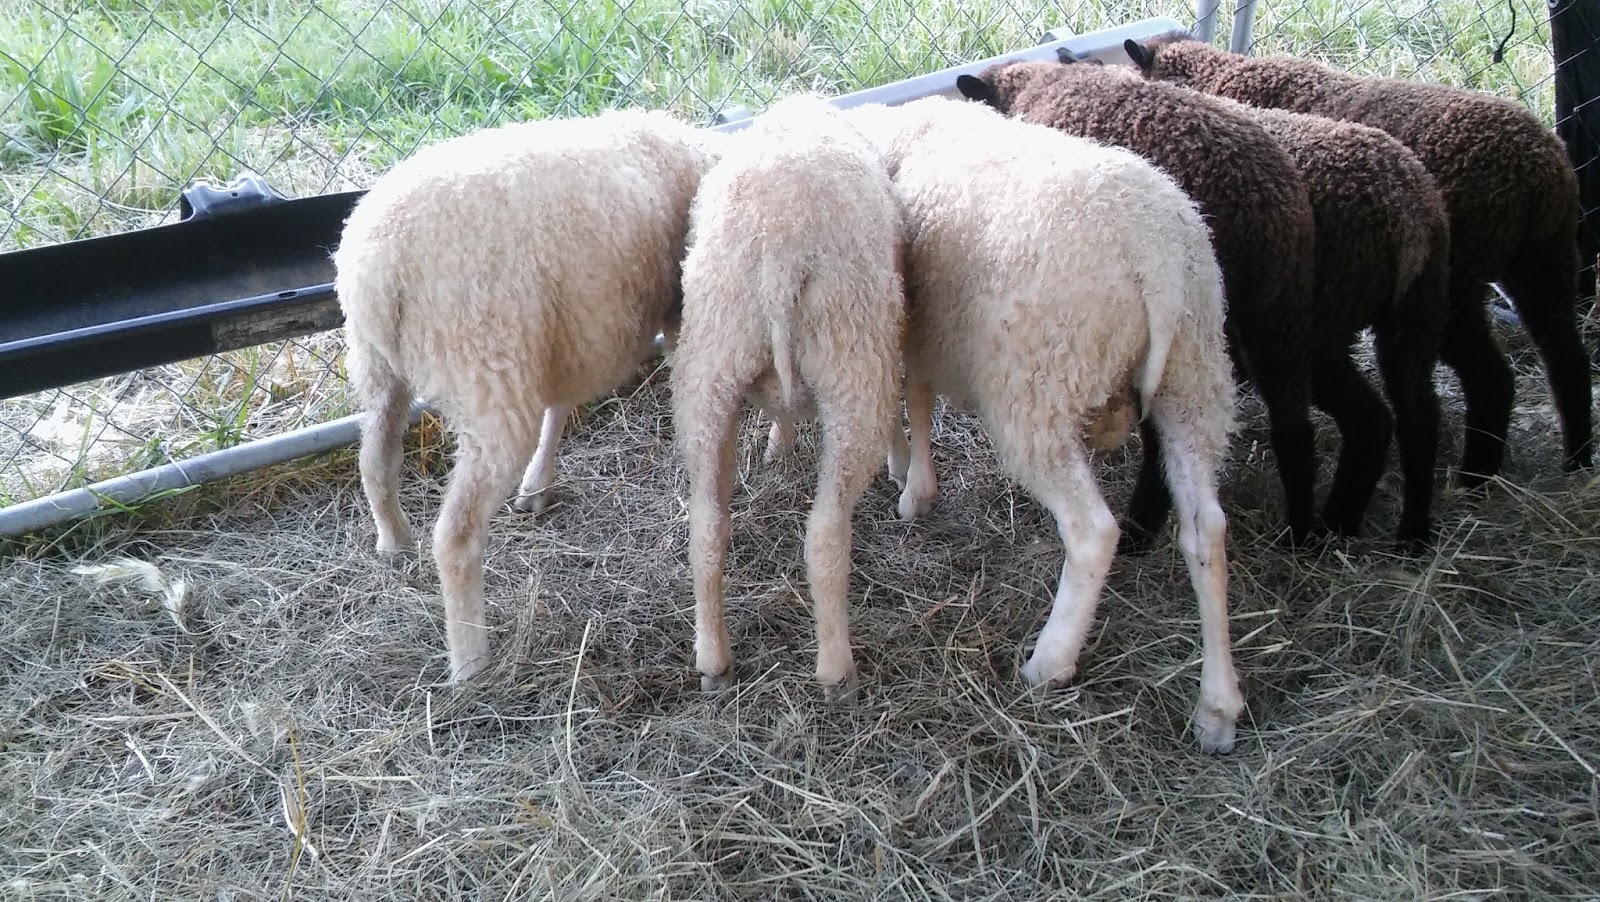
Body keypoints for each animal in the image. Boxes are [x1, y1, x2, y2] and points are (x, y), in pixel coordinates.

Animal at [333, 107, 722, 683]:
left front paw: (539, 483)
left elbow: (559, 405)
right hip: (487, 373)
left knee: (374, 459)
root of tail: (378, 268)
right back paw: (470, 660)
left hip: (377, 367)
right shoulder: (674, 311)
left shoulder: (564, 335)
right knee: (456, 534)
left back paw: (394, 543)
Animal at [668, 93, 906, 700]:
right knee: (825, 533)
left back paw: (713, 661)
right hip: (853, 366)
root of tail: (778, 253)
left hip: (708, 369)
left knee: (706, 525)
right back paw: (837, 671)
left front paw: (778, 442)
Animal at [845, 96, 1246, 752]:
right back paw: (1217, 708)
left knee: (1093, 531)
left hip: (1039, 389)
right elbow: (920, 398)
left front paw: (913, 489)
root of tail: (1157, 257)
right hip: (1196, 374)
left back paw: (1049, 662)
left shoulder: (912, 325)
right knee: (1206, 528)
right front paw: (913, 480)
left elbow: (913, 401)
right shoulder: (932, 330)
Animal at [954, 57, 1325, 553]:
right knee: (1291, 421)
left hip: (1189, 335)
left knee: (1161, 443)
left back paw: (1139, 530)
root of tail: (1266, 211)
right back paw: (1302, 532)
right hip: (1276, 310)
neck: (1042, 85)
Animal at [1124, 32, 1594, 484]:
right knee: (1563, 357)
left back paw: (1475, 477)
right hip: (1540, 264)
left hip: (1443, 287)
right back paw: (1569, 462)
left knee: (1485, 377)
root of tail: (1537, 170)